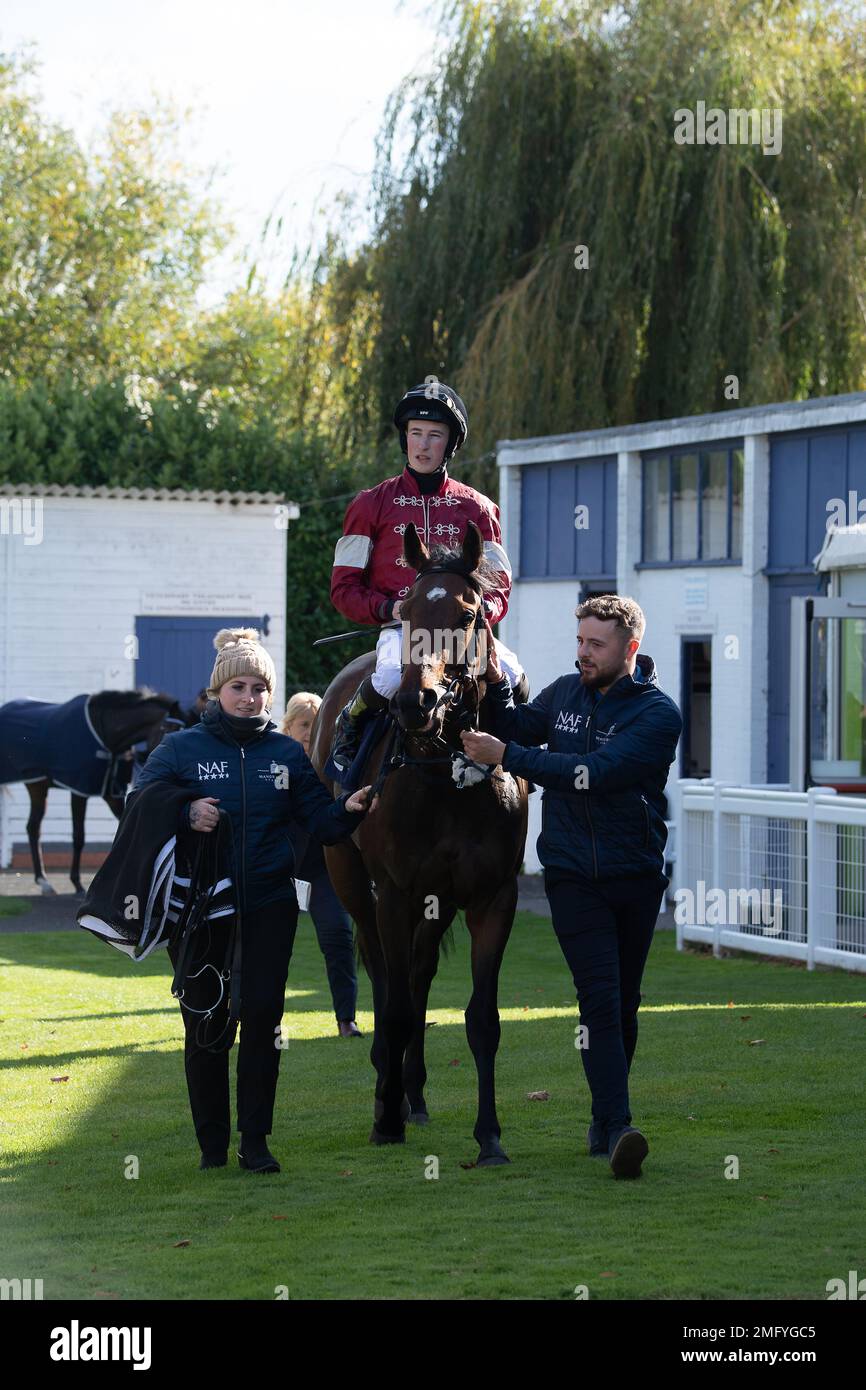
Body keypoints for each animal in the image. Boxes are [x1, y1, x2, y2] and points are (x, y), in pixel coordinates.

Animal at [0, 688, 185, 894]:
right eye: (169, 729)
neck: (107, 735)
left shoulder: (112, 794)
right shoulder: (79, 790)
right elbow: (78, 836)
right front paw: (77, 883)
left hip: (37, 784)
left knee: (33, 827)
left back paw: (43, 880)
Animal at [310, 520, 529, 1166]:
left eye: (467, 613)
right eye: (404, 611)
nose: (415, 702)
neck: (444, 772)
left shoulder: (491, 897)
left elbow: (482, 1019)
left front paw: (490, 1137)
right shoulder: (395, 893)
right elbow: (396, 1007)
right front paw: (385, 1119)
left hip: (438, 903)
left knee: (419, 973)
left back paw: (415, 1094)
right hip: (352, 880)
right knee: (387, 980)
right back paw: (389, 1087)